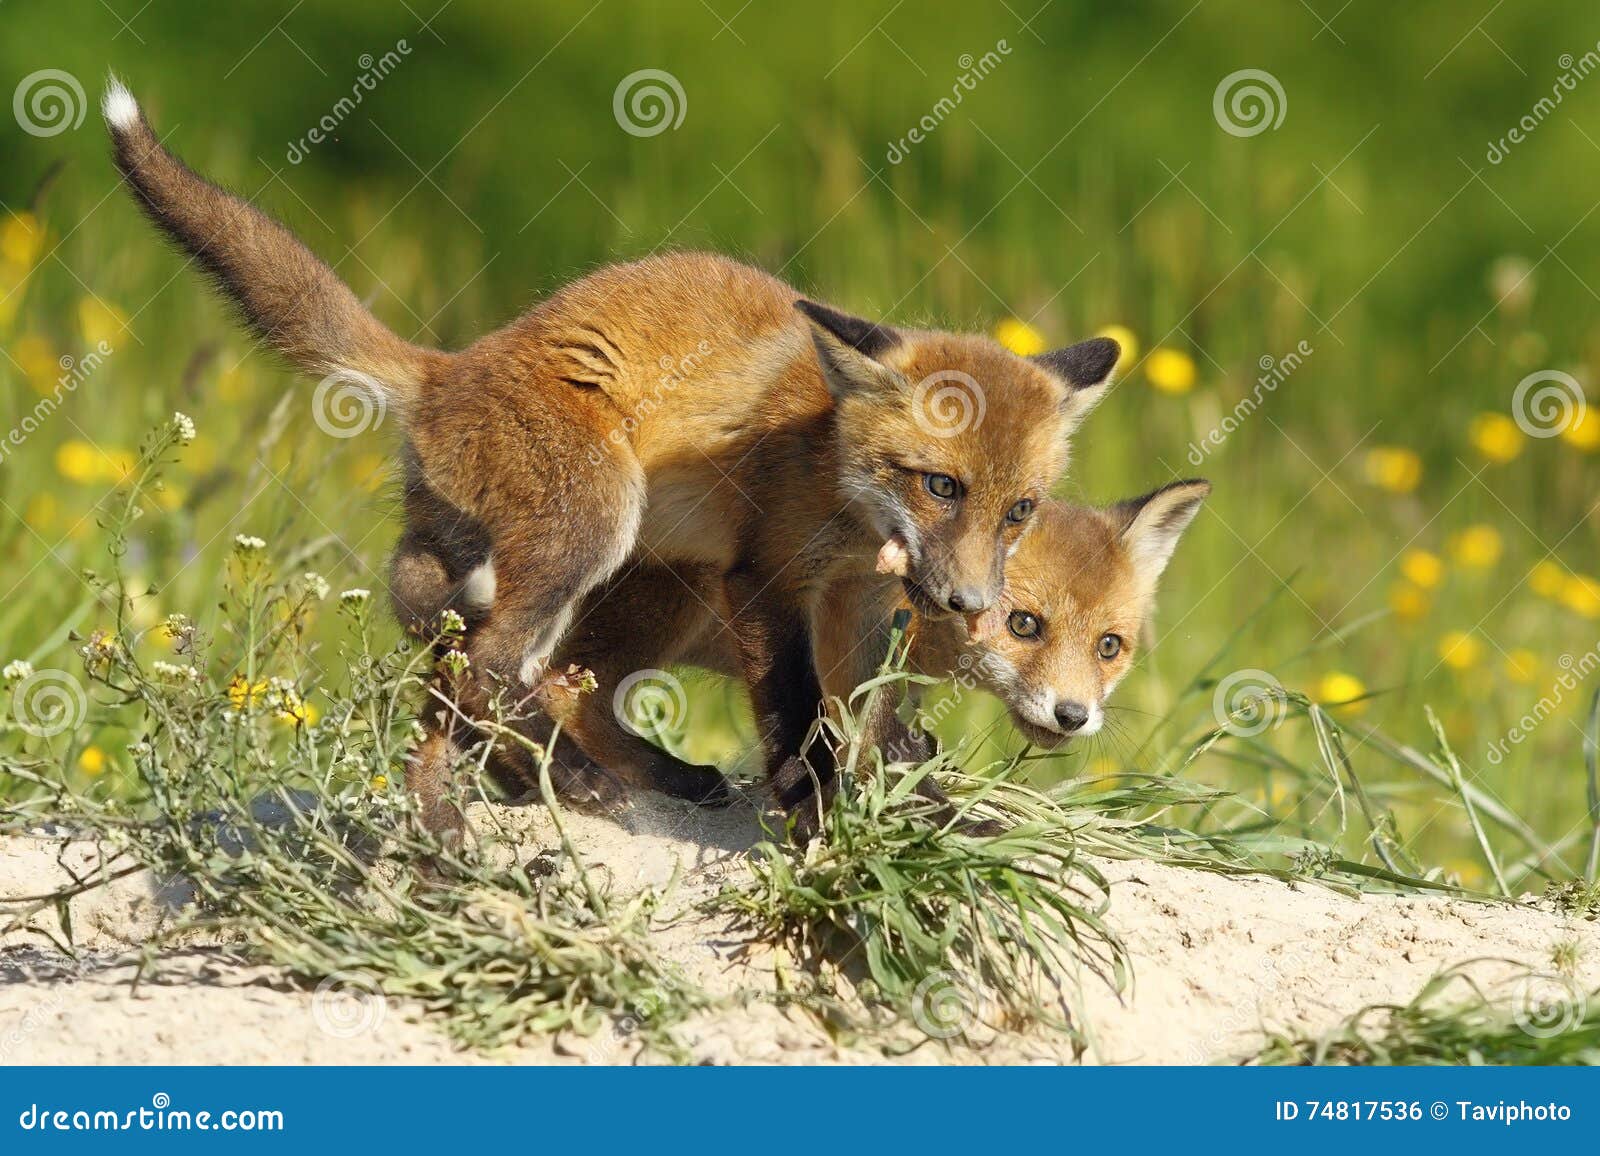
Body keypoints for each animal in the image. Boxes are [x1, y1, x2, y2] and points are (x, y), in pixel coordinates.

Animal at [101, 80, 1118, 835]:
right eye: (941, 484)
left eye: (1020, 509)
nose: (972, 603)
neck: (837, 482)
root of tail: (448, 365)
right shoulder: (764, 579)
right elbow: (798, 715)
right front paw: (813, 809)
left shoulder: (859, 603)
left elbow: (866, 716)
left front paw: (903, 802)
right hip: (592, 528)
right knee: (490, 672)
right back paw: (502, 801)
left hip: (506, 555)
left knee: (447, 636)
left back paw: (583, 775)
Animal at [395, 481, 1211, 819]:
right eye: (1025, 626)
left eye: (1110, 646)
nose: (1073, 715)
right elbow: (853, 732)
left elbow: (893, 733)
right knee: (555, 690)